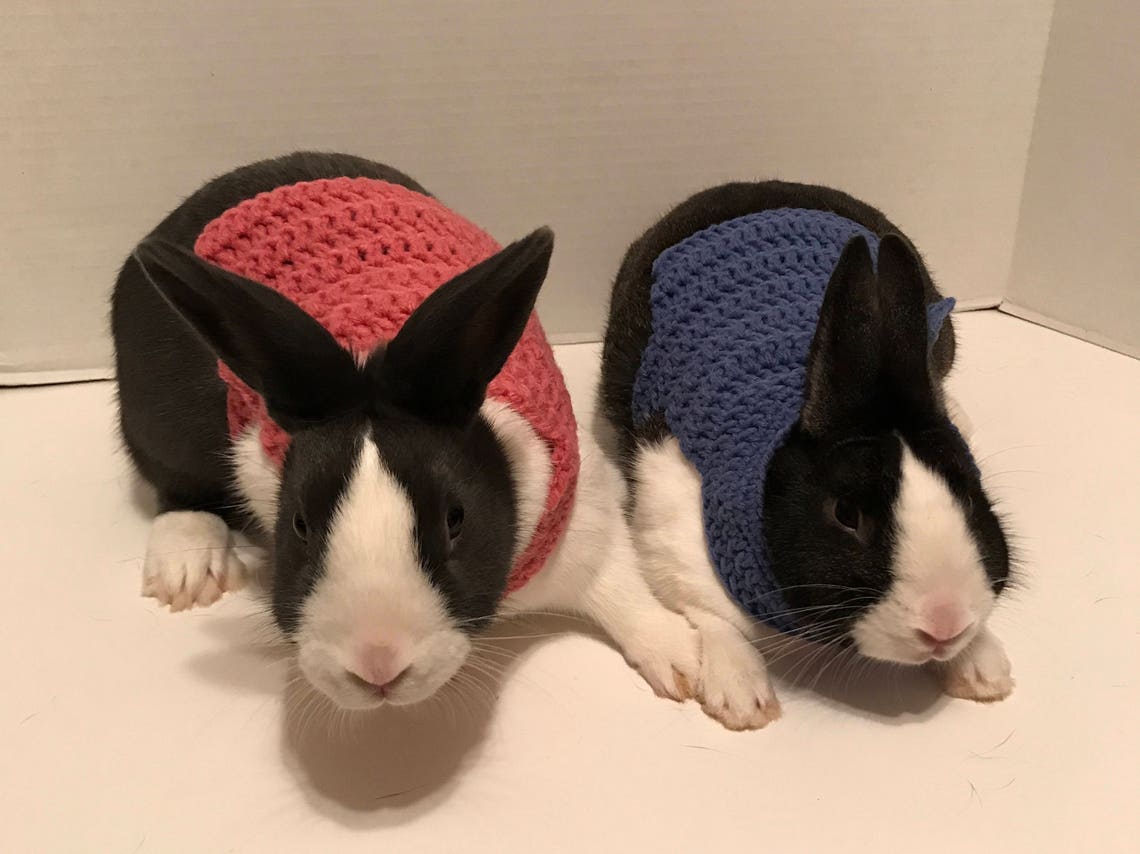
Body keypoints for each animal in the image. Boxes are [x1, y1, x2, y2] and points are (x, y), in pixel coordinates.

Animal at [111, 152, 699, 711]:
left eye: (456, 518)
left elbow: (622, 589)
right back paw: (186, 568)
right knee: (178, 489)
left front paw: (696, 665)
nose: (377, 665)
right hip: (159, 421)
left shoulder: (582, 518)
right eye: (299, 524)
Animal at [599, 181, 1015, 730]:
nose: (943, 625)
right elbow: (708, 611)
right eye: (845, 514)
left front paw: (983, 669)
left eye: (968, 495)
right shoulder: (667, 509)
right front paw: (742, 698)